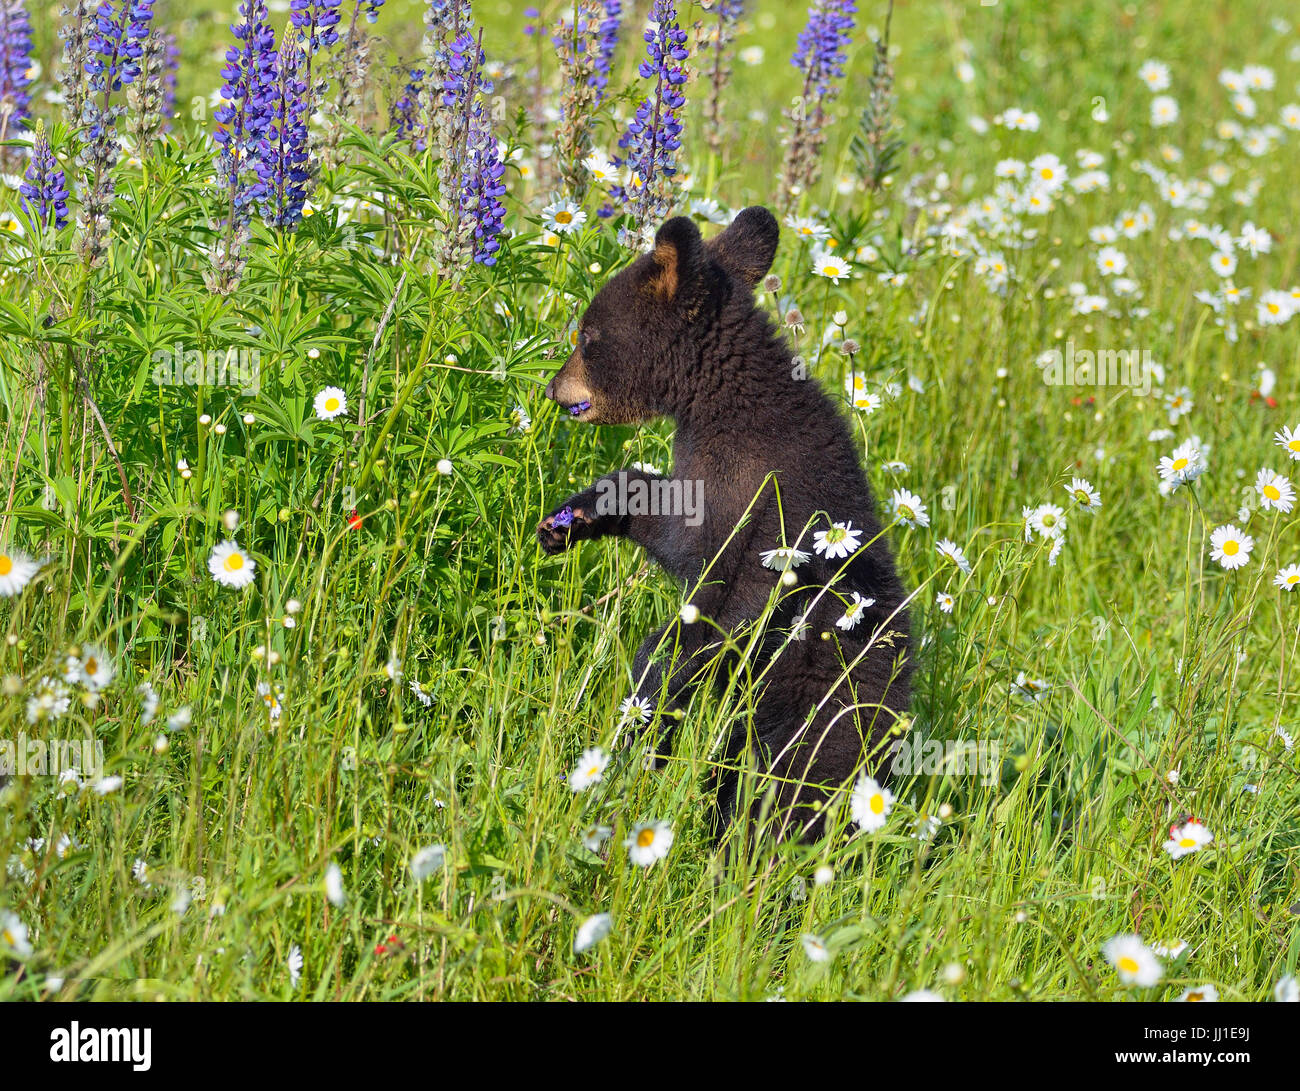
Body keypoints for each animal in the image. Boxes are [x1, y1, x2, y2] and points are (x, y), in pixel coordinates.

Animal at [537, 206, 912, 843]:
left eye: (587, 335)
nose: (554, 389)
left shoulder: (752, 491)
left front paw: (649, 698)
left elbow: (703, 575)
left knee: (794, 782)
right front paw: (571, 518)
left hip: (815, 708)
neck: (717, 395)